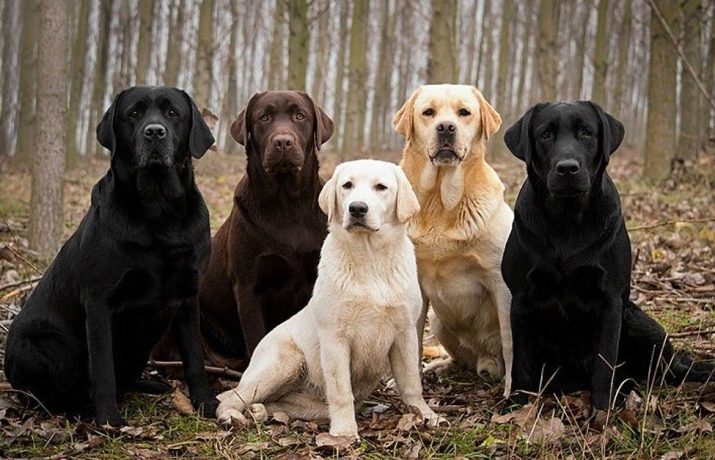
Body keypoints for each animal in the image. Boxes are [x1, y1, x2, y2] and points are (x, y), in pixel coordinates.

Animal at [3, 85, 218, 424]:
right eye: (134, 113)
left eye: (173, 113)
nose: (154, 132)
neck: (158, 208)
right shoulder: (99, 301)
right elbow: (103, 368)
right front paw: (108, 420)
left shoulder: (188, 294)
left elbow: (195, 357)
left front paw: (206, 403)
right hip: (45, 348)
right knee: (52, 393)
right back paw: (79, 409)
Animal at [215, 161, 444, 438]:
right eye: (347, 185)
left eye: (381, 187)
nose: (357, 208)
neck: (370, 259)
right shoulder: (335, 338)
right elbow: (341, 390)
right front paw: (345, 432)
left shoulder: (405, 333)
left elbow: (411, 383)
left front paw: (426, 415)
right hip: (286, 361)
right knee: (229, 395)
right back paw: (231, 417)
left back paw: (259, 412)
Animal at [392, 83, 516, 396]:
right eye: (428, 112)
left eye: (464, 112)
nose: (446, 127)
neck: (440, 201)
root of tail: (486, 359)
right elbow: (412, 341)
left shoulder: (501, 283)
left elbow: (511, 343)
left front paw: (513, 391)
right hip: (438, 321)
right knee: (462, 359)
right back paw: (442, 367)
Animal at [500, 102, 712, 412]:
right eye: (545, 135)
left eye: (586, 133)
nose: (567, 168)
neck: (566, 220)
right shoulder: (522, 300)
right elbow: (520, 363)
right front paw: (515, 405)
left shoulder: (610, 301)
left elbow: (604, 364)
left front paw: (601, 411)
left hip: (639, 322)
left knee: (665, 371)